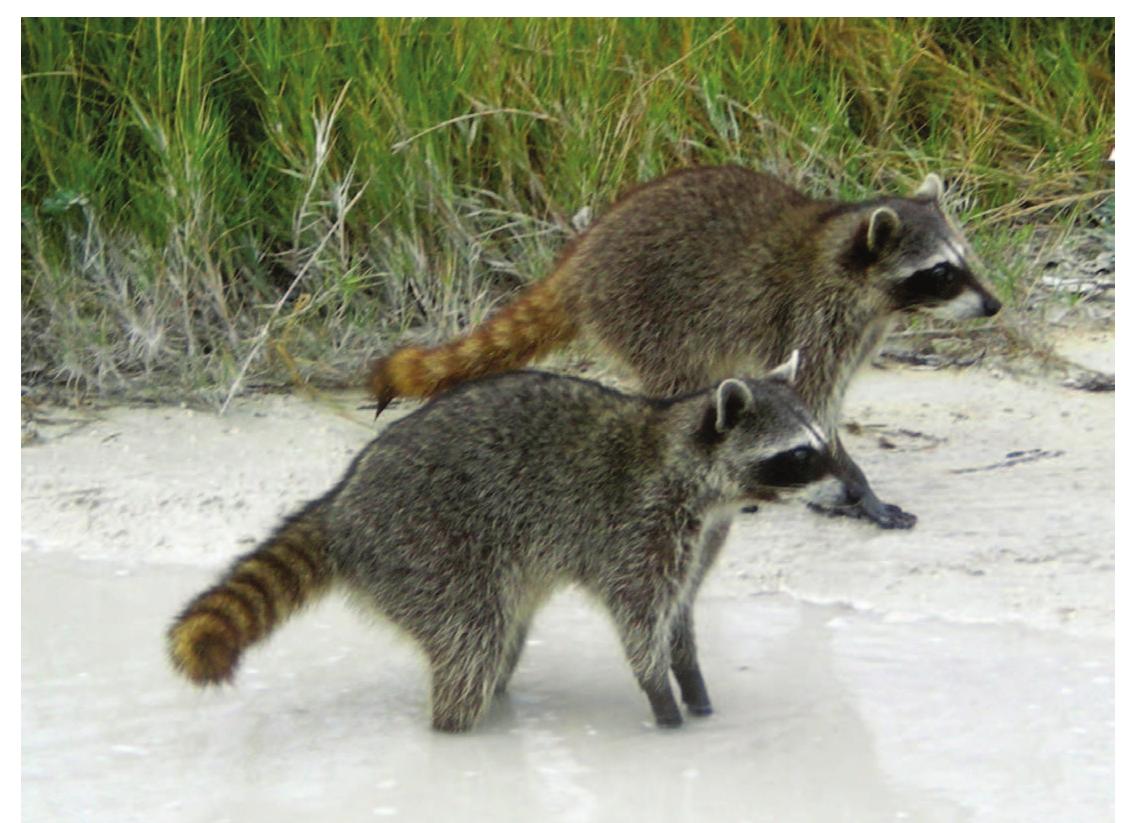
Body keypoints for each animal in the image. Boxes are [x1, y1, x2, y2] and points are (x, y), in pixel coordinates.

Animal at [168, 353, 840, 732]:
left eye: (823, 441)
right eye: (800, 455)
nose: (850, 488)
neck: (695, 468)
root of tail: (342, 504)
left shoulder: (699, 536)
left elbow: (678, 617)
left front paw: (694, 686)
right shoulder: (639, 524)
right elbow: (638, 616)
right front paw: (664, 704)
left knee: (500, 639)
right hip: (424, 546)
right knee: (474, 641)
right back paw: (454, 729)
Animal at [368, 167, 1002, 529]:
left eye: (964, 260)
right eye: (942, 272)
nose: (995, 306)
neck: (862, 279)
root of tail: (583, 258)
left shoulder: (859, 327)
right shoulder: (812, 316)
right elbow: (813, 402)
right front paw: (856, 486)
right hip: (649, 313)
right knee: (679, 383)